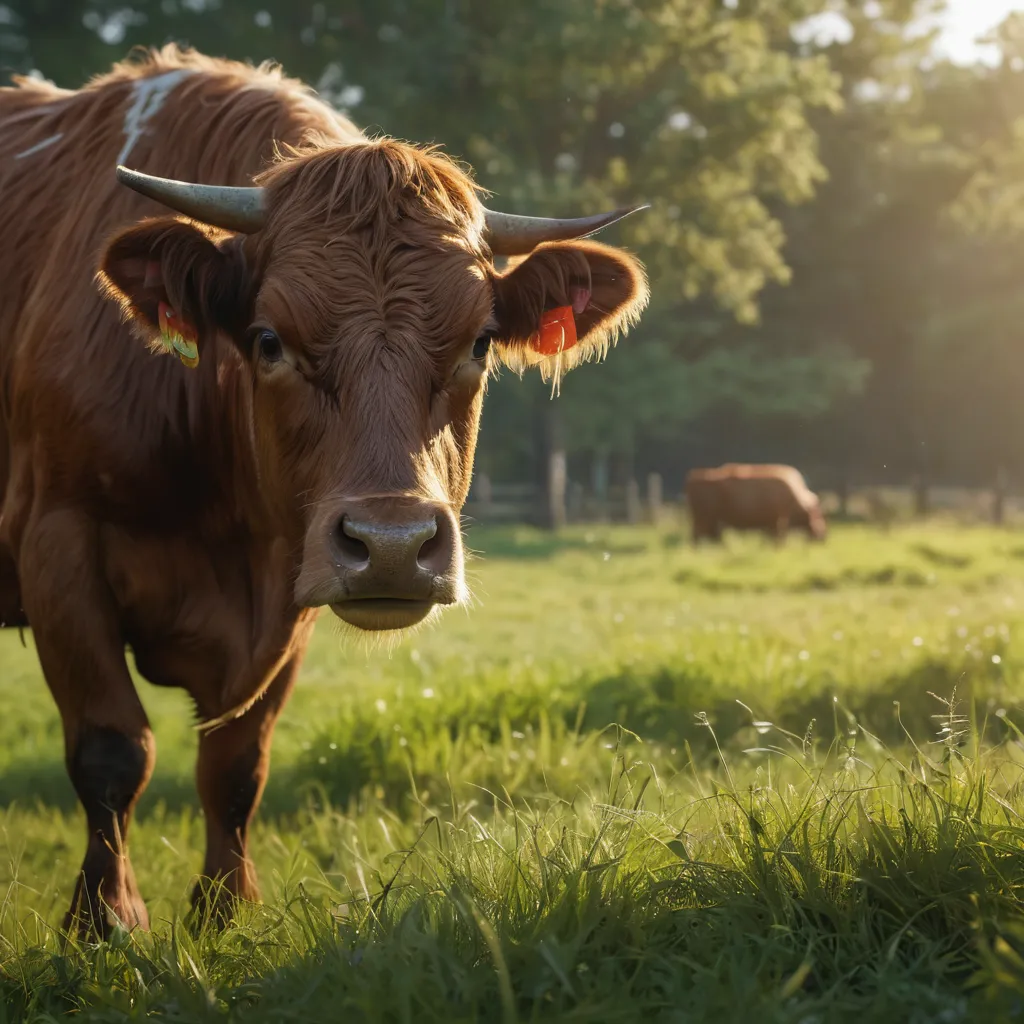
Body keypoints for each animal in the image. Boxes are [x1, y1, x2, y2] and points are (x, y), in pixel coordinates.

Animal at [0, 46, 649, 937]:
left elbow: (237, 762)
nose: (393, 547)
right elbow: (111, 749)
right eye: (269, 340)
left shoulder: (291, 579)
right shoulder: (59, 545)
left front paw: (225, 909)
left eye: (480, 342)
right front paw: (107, 918)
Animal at [685, 464, 827, 543]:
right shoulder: (779, 520)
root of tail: (694, 476)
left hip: (708, 519)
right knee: (697, 536)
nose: (823, 535)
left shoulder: (771, 522)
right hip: (703, 518)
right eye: (818, 515)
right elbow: (779, 538)